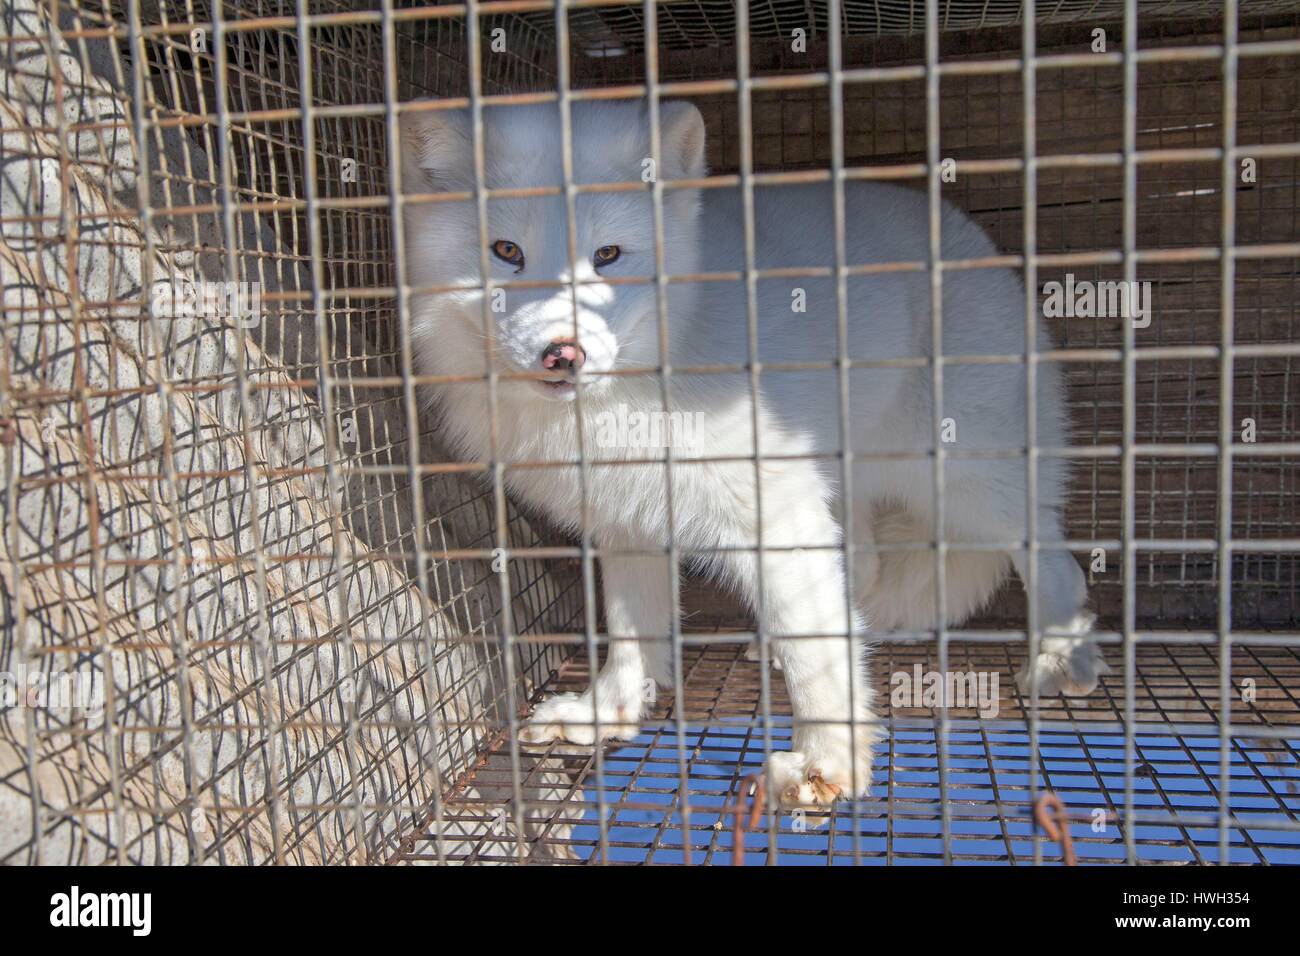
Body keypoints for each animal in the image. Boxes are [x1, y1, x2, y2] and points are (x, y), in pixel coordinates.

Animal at [398, 99, 1107, 806]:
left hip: (960, 476)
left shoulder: (773, 507)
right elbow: (631, 632)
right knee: (863, 570)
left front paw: (828, 761)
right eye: (506, 251)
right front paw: (609, 712)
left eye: (607, 255)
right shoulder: (626, 518)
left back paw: (1060, 655)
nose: (562, 353)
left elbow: (813, 658)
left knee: (1054, 558)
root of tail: (972, 238)